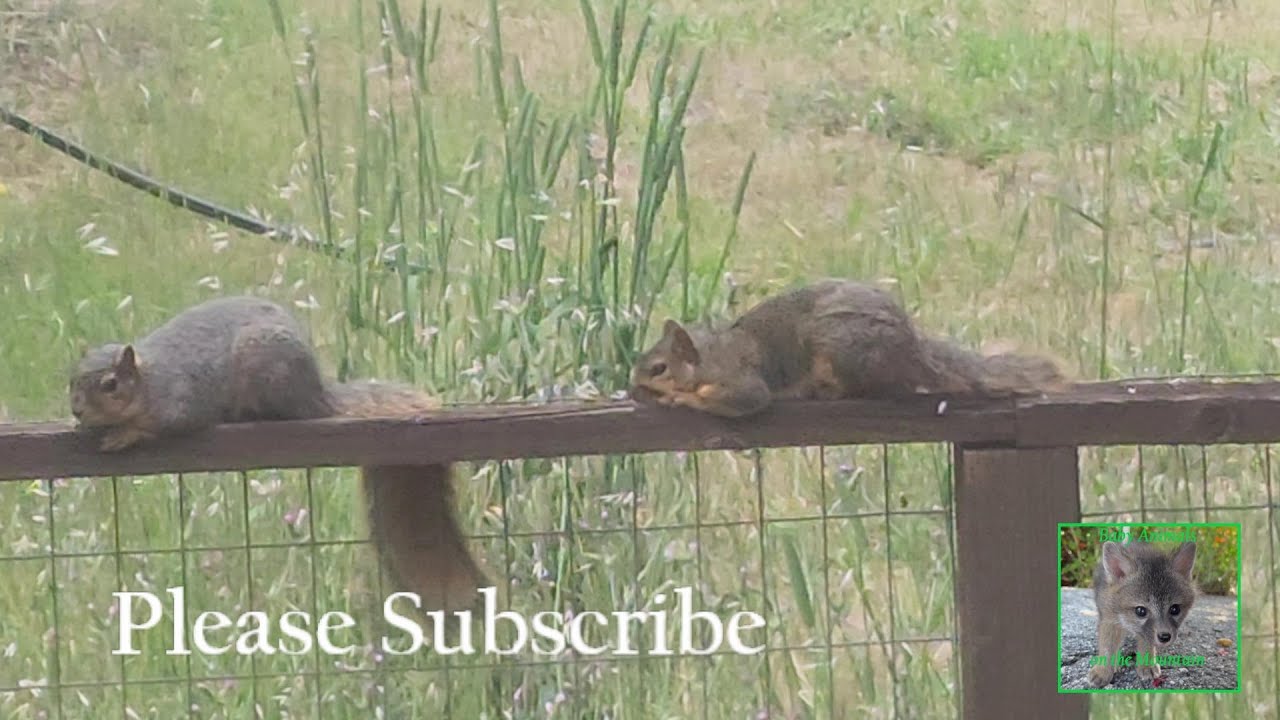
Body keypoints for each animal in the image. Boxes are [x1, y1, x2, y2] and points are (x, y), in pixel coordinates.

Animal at [69, 295, 486, 613]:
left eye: (110, 384)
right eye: (70, 377)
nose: (76, 410)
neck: (148, 377)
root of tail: (315, 393)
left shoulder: (180, 397)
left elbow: (171, 423)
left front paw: (125, 434)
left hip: (266, 371)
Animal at [630, 279, 1068, 417]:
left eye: (658, 369)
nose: (631, 391)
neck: (709, 356)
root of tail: (912, 349)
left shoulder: (739, 379)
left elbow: (748, 400)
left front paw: (683, 399)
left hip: (844, 349)